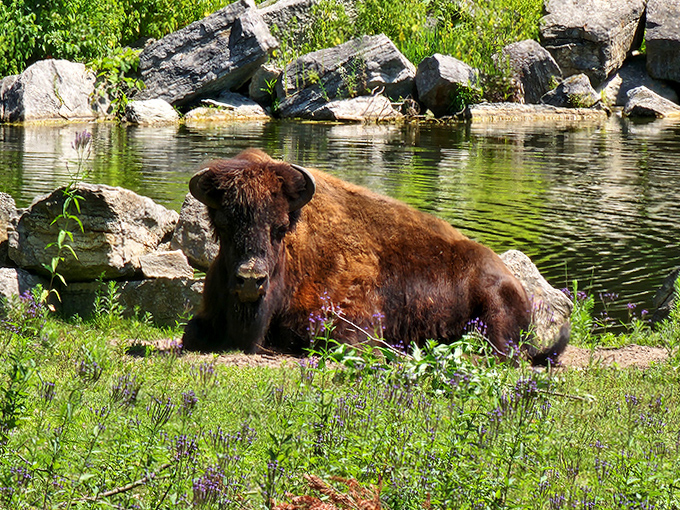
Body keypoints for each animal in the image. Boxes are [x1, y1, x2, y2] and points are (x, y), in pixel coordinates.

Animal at [182, 149, 569, 365]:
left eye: (280, 227)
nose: (250, 280)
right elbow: (191, 335)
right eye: (222, 223)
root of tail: (514, 282)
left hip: (495, 311)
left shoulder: (354, 323)